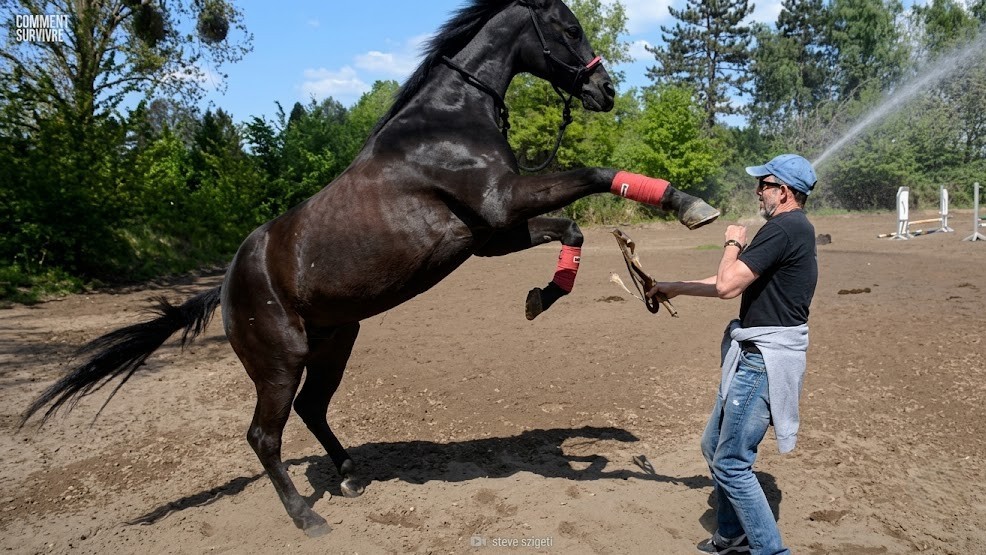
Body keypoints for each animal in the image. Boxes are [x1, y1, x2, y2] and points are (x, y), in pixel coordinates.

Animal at [21, 0, 719, 537]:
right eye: (569, 26)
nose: (606, 92)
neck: (448, 121)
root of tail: (224, 285)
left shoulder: (490, 234)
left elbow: (572, 226)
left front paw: (543, 295)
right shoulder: (501, 207)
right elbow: (595, 175)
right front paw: (690, 204)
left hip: (336, 341)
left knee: (312, 411)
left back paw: (352, 476)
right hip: (279, 362)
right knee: (264, 437)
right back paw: (308, 518)